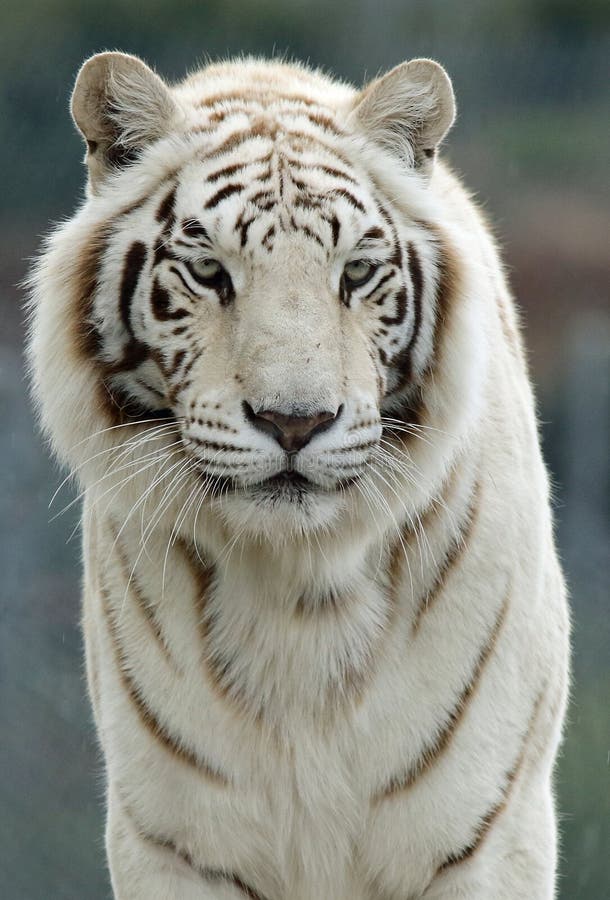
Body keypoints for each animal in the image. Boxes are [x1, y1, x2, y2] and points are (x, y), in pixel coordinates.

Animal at [28, 51, 570, 900]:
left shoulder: (484, 833)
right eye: (209, 271)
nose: (294, 421)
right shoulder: (178, 843)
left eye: (357, 273)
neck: (296, 592)